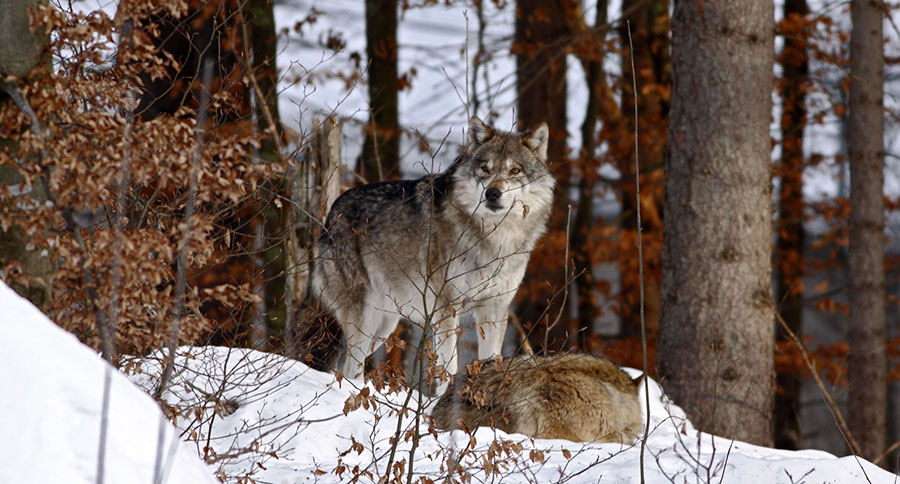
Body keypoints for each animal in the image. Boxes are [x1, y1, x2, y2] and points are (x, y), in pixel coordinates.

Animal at [311, 117, 554, 391]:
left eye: (515, 171)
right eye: (485, 168)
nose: (492, 193)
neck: (494, 237)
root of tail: (331, 215)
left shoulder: (494, 307)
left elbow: (492, 359)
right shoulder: (446, 307)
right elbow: (448, 367)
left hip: (384, 325)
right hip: (365, 320)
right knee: (351, 368)